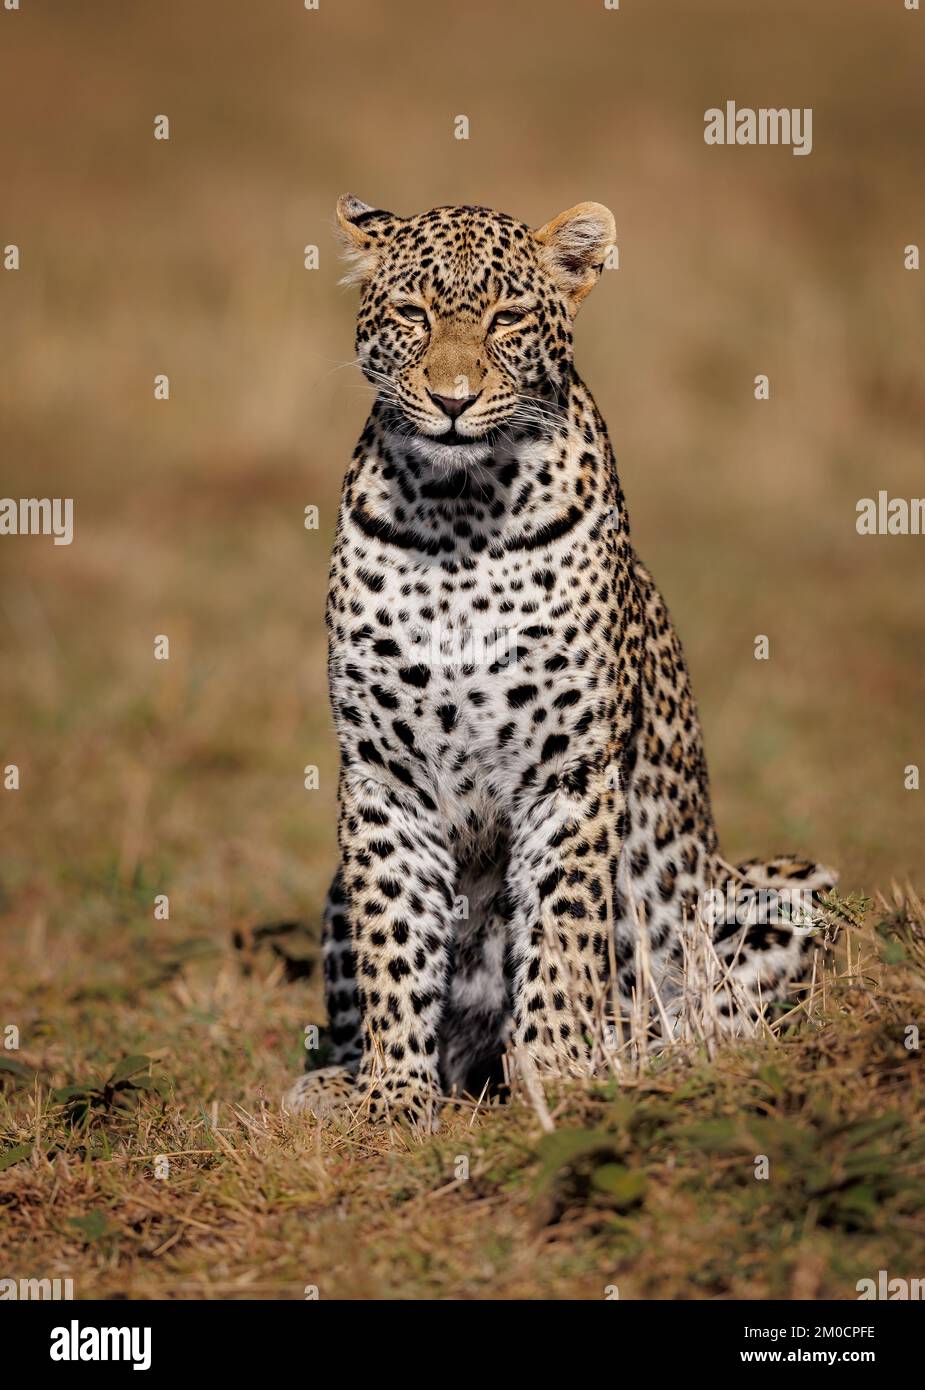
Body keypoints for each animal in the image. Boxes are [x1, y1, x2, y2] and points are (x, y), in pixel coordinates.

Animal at [283, 195, 835, 1128]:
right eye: (411, 313)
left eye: (506, 318)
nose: (452, 400)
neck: (458, 513)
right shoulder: (382, 776)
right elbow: (392, 944)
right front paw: (391, 1096)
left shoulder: (570, 771)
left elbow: (562, 933)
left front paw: (559, 1074)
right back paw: (335, 1084)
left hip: (785, 888)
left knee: (719, 1013)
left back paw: (654, 1059)